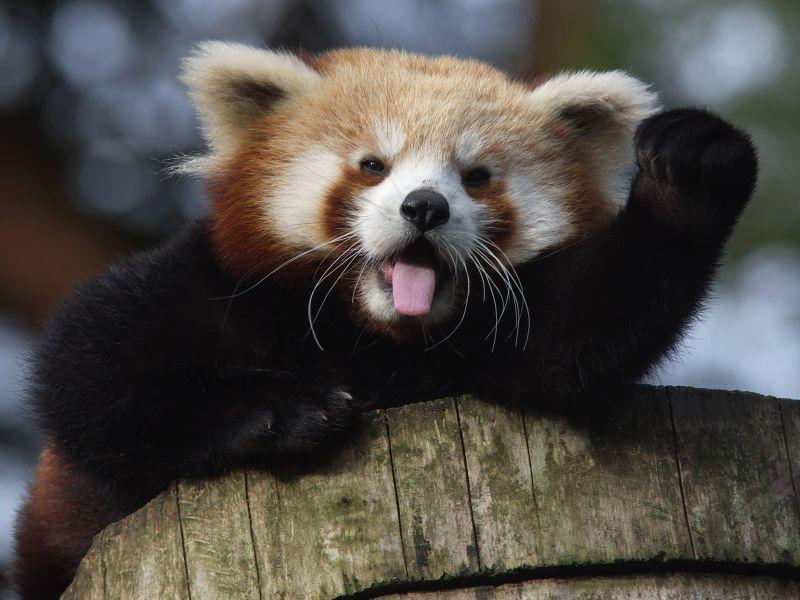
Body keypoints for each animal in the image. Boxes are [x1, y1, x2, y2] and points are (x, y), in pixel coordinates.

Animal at [12, 43, 757, 598]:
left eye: (476, 176)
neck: (372, 338)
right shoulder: (211, 286)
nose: (425, 206)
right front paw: (280, 411)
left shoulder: (506, 331)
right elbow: (87, 375)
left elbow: (580, 333)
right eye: (373, 165)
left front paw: (688, 175)